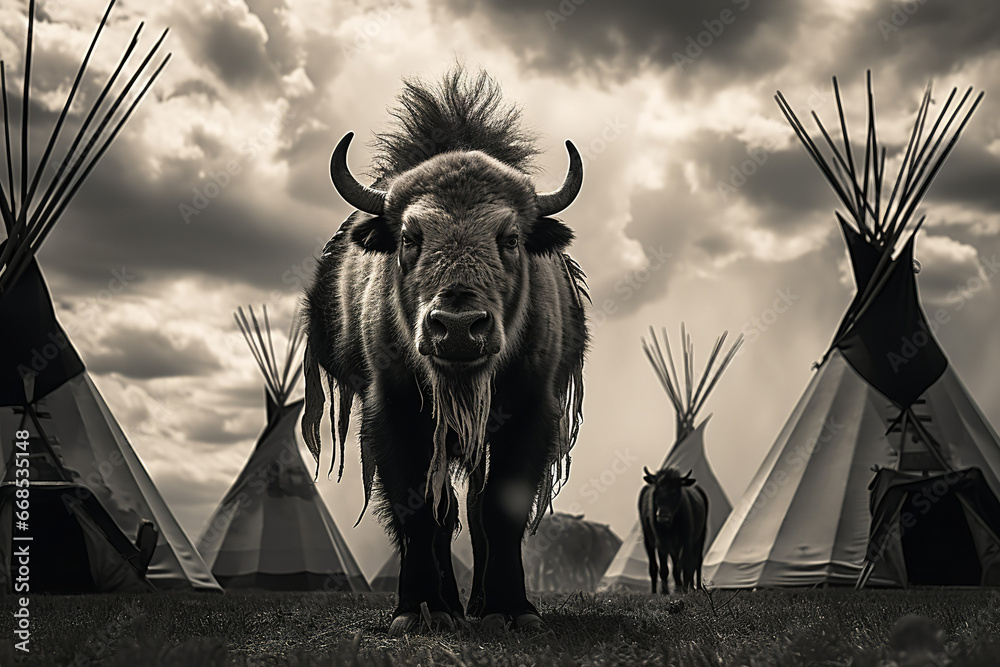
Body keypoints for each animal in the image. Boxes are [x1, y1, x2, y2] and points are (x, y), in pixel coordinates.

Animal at [301, 69, 588, 634]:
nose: (457, 328)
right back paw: (452, 607)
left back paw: (475, 606)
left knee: (472, 510)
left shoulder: (529, 413)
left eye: (510, 238)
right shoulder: (393, 414)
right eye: (410, 237)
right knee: (446, 512)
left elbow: (500, 510)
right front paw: (419, 609)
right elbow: (418, 512)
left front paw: (511, 609)